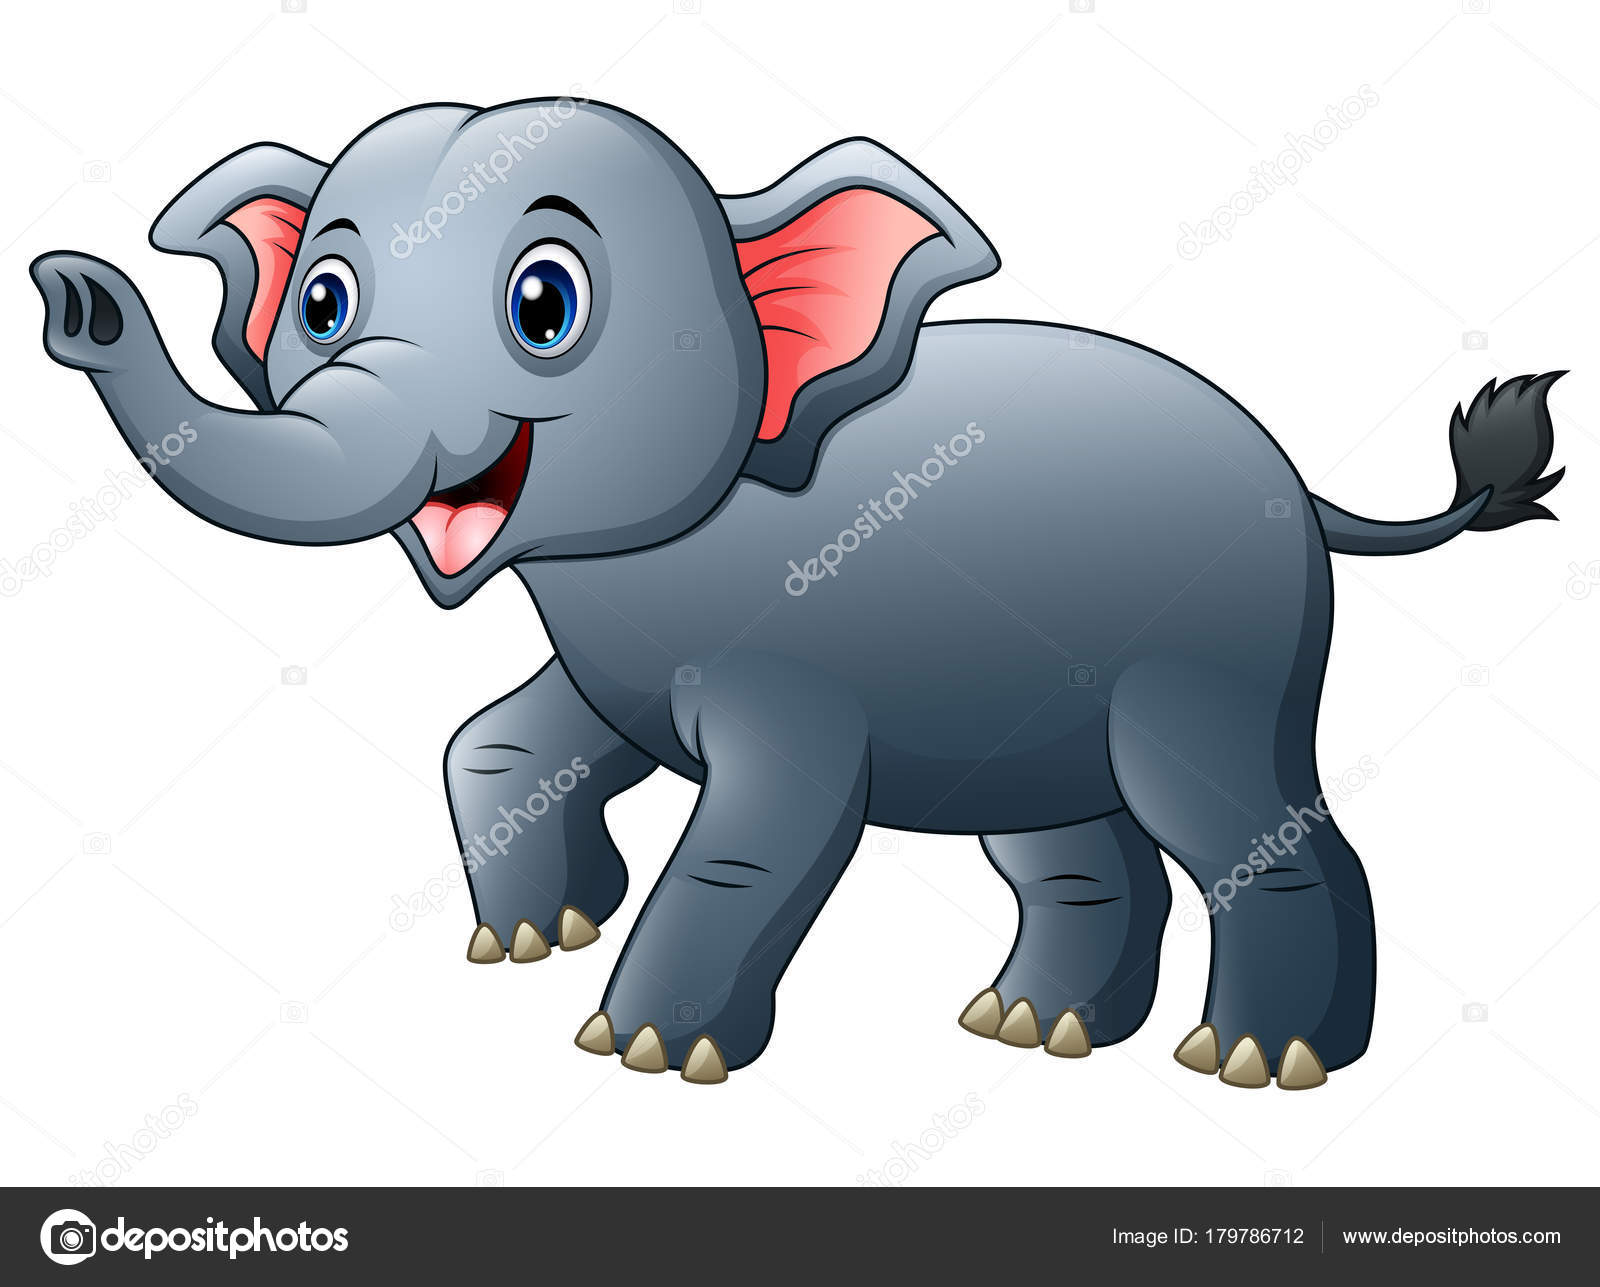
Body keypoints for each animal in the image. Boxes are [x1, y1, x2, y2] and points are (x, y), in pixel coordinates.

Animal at [32, 98, 1565, 1090]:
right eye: (324, 302)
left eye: (545, 305)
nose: (72, 293)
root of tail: (1303, 482)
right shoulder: (616, 636)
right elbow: (504, 739)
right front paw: (530, 935)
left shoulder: (791, 661)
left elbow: (764, 826)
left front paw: (642, 1049)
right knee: (1072, 847)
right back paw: (1032, 1029)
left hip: (1222, 653)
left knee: (1236, 818)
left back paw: (1260, 1060)